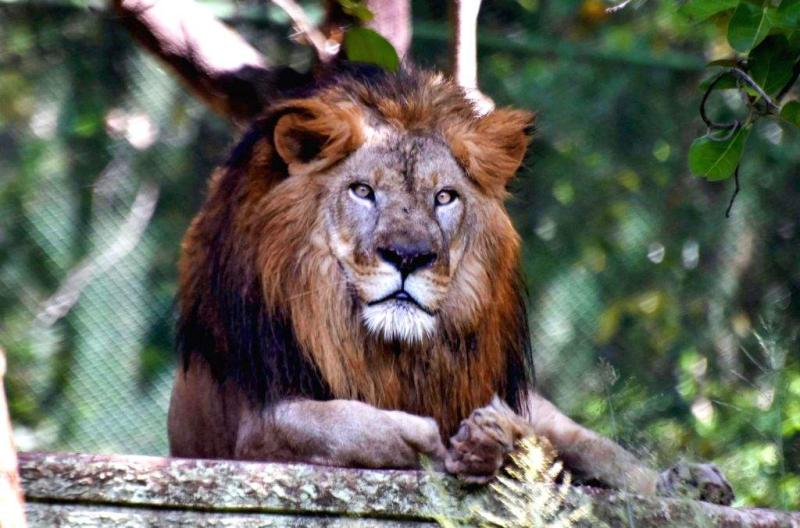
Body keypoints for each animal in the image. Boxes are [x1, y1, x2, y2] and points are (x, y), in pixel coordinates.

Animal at [168, 66, 733, 504]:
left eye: (444, 197)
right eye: (362, 191)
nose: (409, 257)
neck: (393, 351)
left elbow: (555, 439)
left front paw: (490, 439)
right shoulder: (256, 422)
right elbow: (358, 426)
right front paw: (444, 443)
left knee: (593, 445)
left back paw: (689, 483)